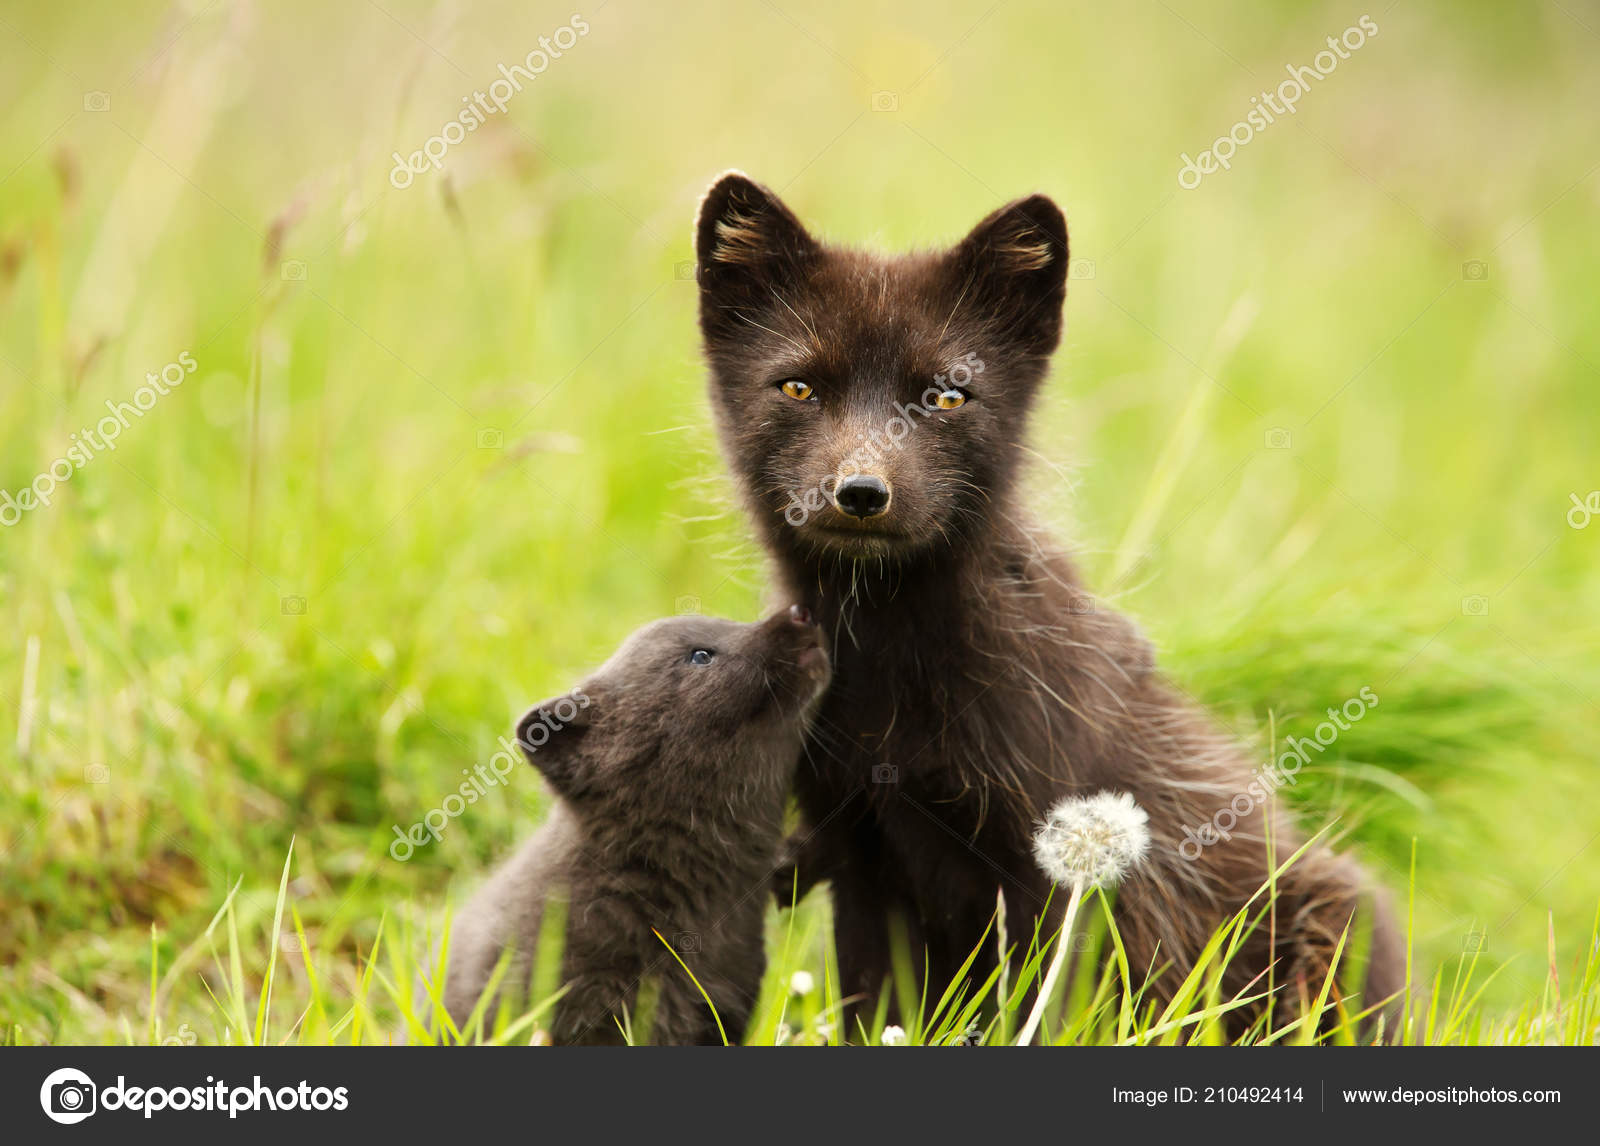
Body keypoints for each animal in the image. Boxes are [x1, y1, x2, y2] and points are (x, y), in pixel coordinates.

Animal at [692, 171, 1404, 1039]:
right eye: (798, 387)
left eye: (947, 396)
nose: (860, 492)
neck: (890, 663)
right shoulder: (855, 845)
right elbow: (880, 1008)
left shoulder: (1055, 866)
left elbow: (1047, 1008)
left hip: (1337, 914)